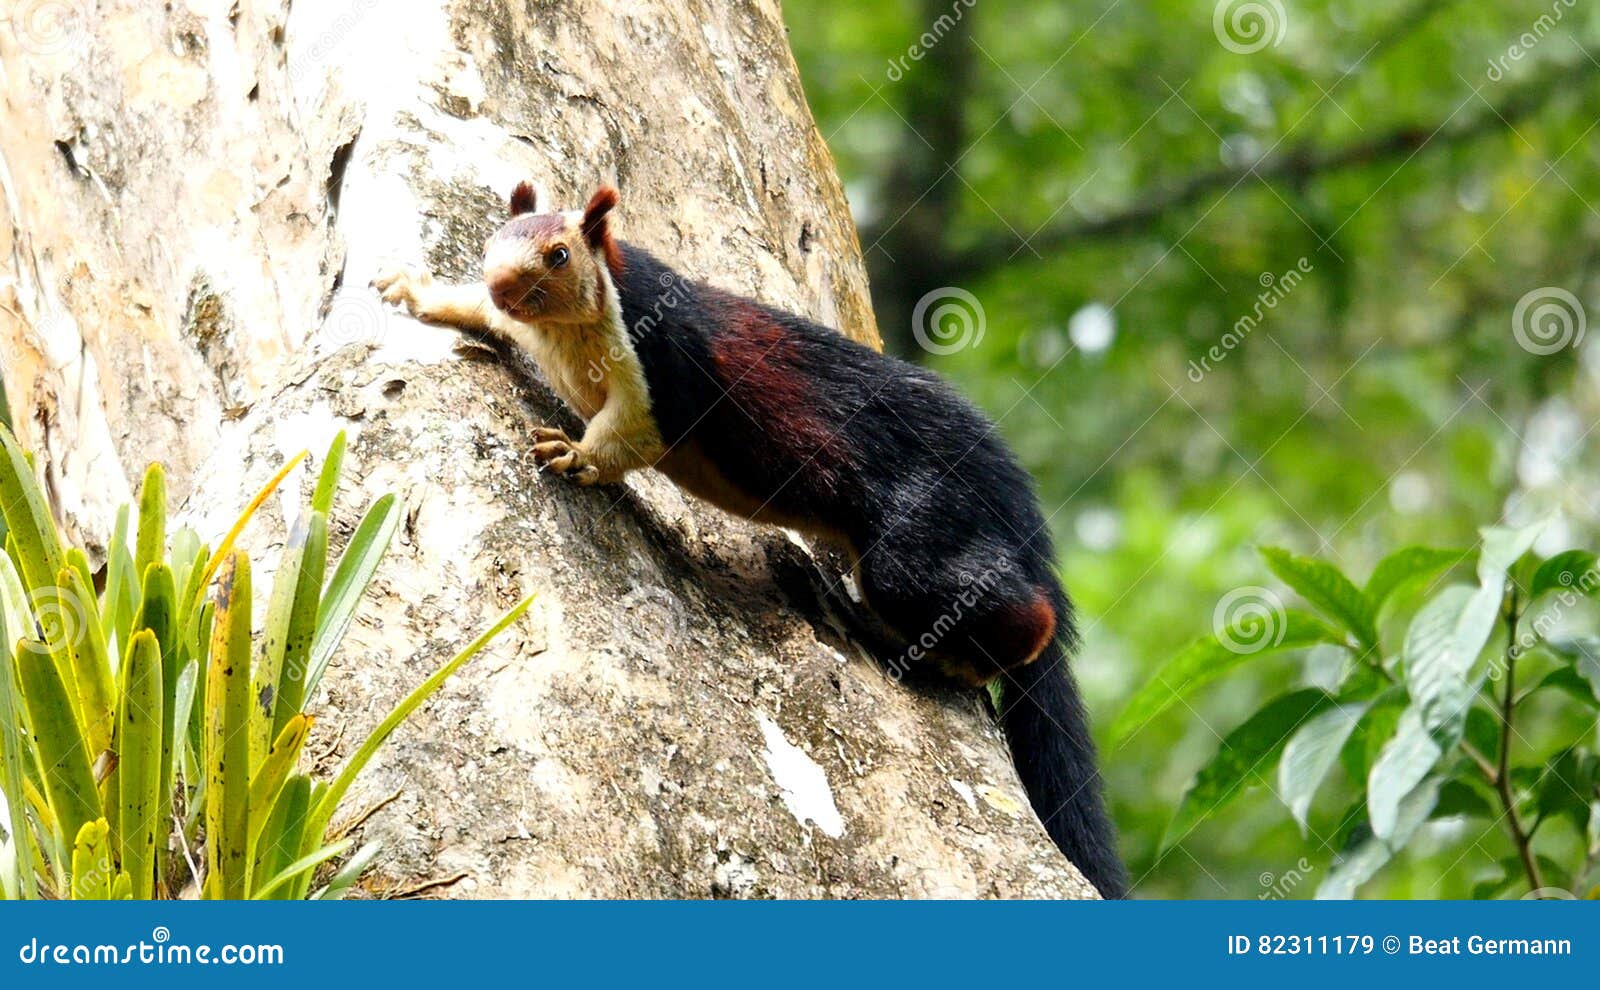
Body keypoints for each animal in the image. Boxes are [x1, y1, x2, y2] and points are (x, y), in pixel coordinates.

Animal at [372, 183, 1127, 898]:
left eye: (559, 254)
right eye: (495, 239)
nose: (503, 282)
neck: (566, 334)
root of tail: (1015, 509)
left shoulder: (661, 365)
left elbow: (631, 435)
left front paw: (575, 454)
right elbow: (477, 313)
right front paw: (416, 290)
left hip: (914, 545)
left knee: (1021, 617)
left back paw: (948, 655)